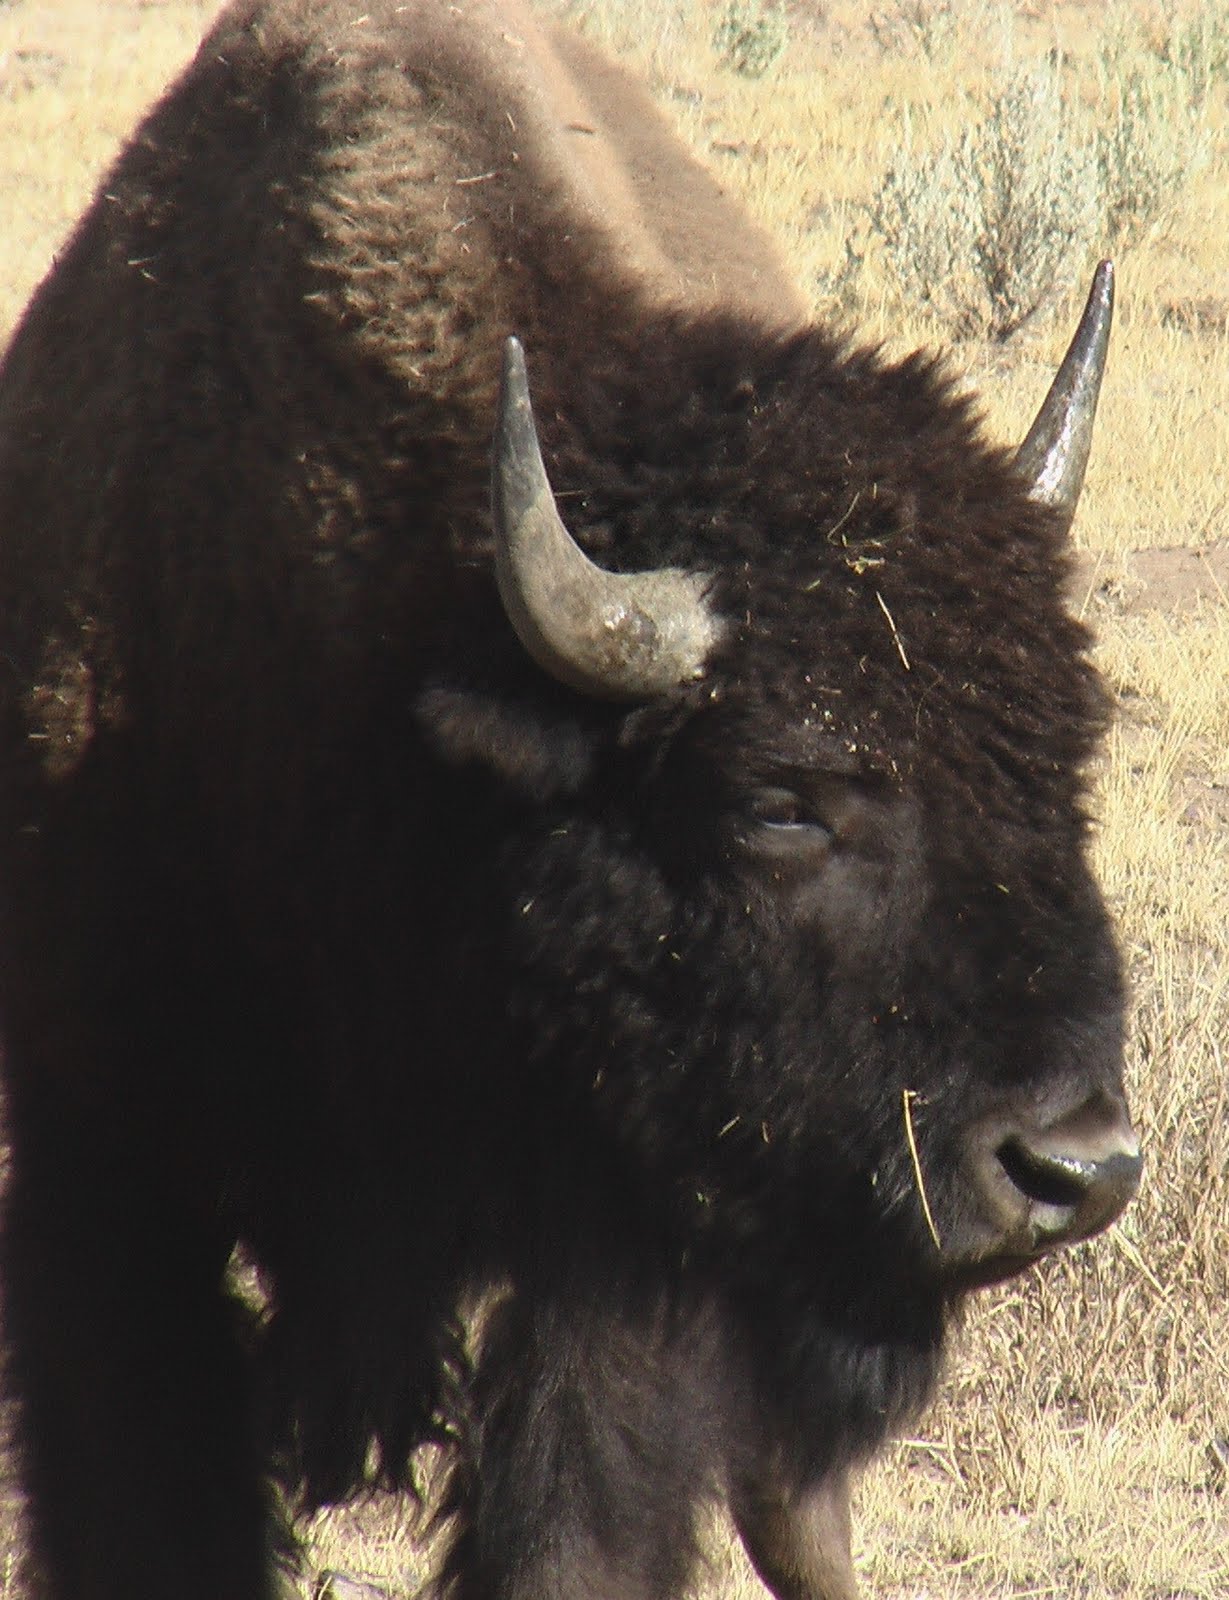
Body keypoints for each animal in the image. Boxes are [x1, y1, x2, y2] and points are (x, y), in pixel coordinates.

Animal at [0, 2, 1140, 1598]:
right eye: (780, 800)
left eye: (1065, 753)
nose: (1074, 1165)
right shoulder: (107, 1160)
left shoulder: (613, 1246)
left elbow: (575, 1516)